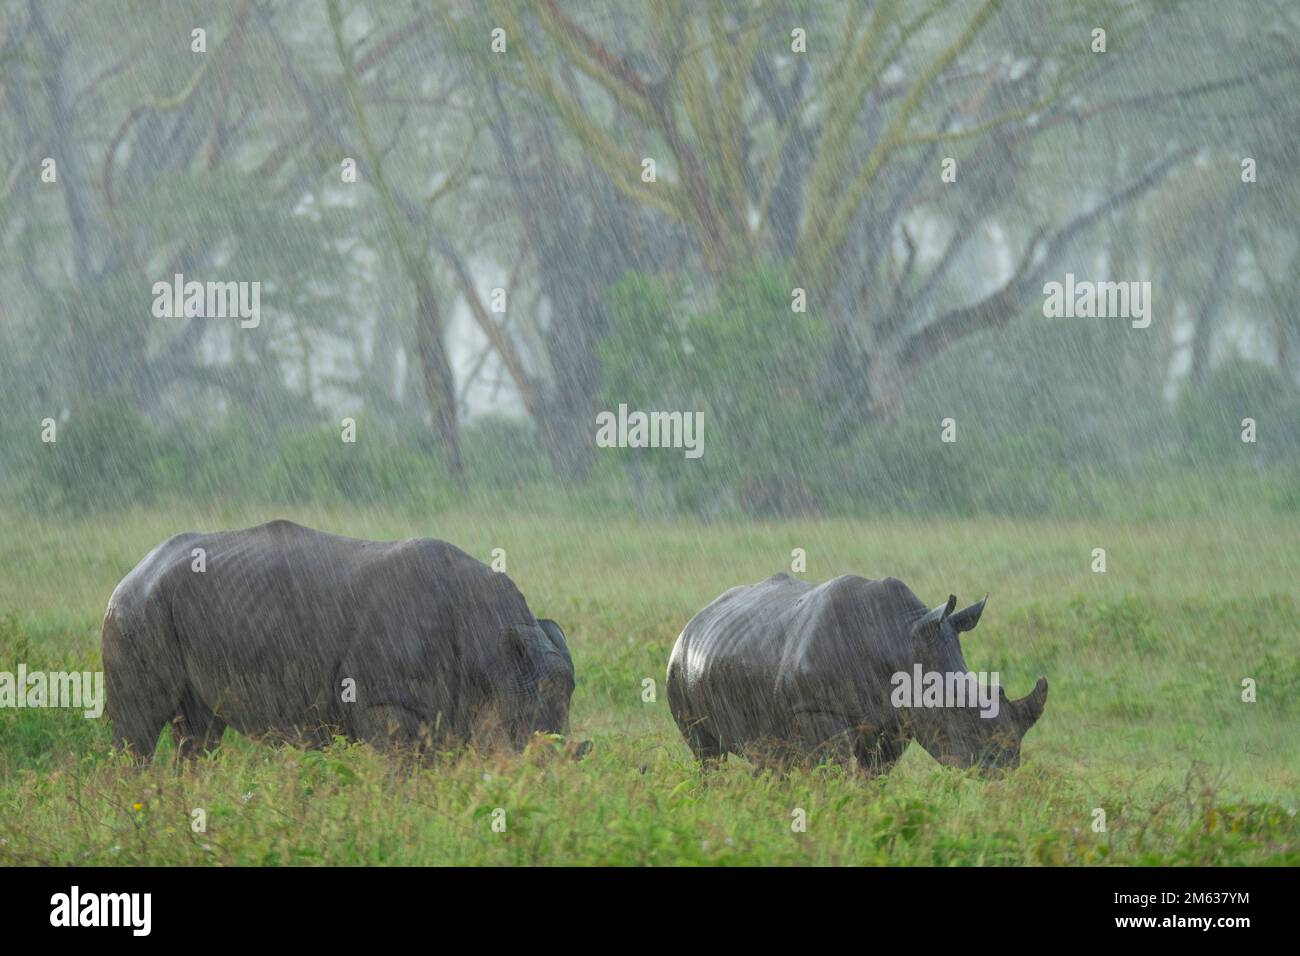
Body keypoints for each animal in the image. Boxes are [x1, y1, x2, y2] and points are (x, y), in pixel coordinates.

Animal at [102, 520, 577, 759]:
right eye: (521, 735)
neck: (492, 652)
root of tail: (133, 571)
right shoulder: (384, 702)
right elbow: (403, 772)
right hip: (134, 612)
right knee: (139, 728)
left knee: (199, 732)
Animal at [666, 574, 1047, 775]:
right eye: (958, 711)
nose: (1005, 765)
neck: (899, 641)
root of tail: (694, 621)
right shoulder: (817, 709)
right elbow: (832, 768)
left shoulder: (897, 720)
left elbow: (874, 773)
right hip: (677, 666)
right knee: (707, 755)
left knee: (768, 757)